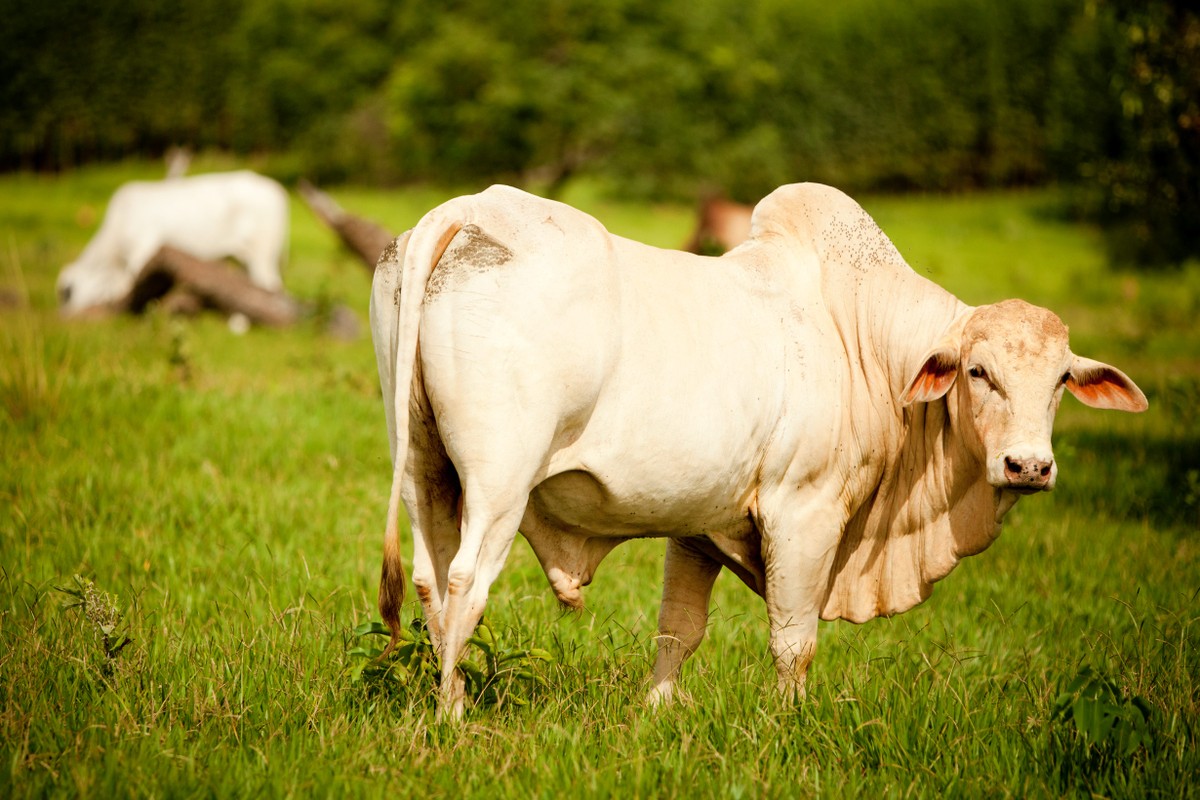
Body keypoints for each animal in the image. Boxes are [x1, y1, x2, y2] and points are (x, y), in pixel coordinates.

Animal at [57, 171, 289, 314]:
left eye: (67, 293)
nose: (64, 315)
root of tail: (278, 190)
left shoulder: (144, 248)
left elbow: (134, 282)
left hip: (263, 253)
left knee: (270, 285)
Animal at [369, 182, 1147, 719]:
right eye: (979, 372)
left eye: (1060, 380)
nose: (1029, 466)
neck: (862, 341)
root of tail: (472, 210)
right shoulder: (806, 514)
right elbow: (793, 640)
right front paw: (789, 725)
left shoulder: (697, 524)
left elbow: (678, 631)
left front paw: (656, 714)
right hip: (500, 482)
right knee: (466, 581)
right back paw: (454, 718)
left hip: (424, 470)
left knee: (431, 580)